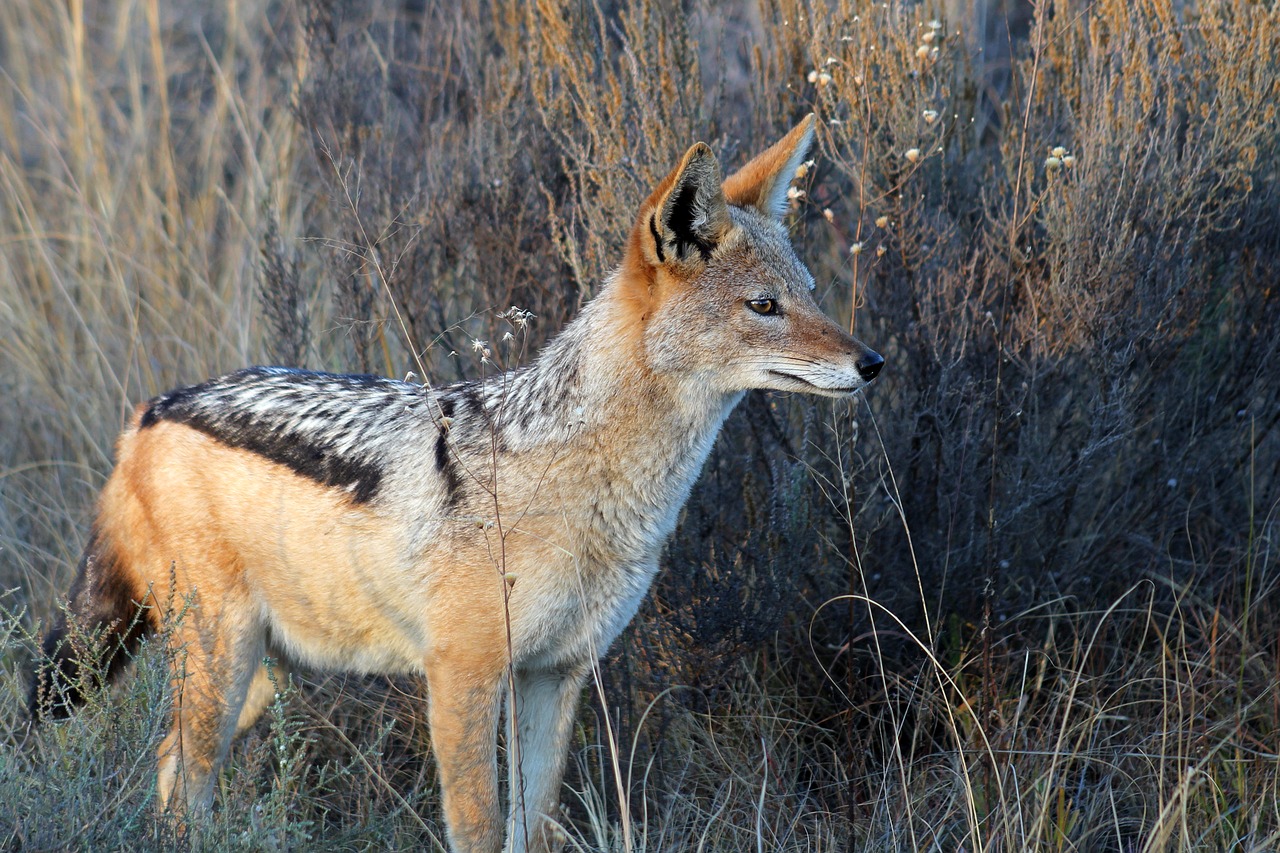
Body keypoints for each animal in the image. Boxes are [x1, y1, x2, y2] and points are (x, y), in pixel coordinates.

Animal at [31, 114, 882, 852]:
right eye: (764, 306)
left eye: (811, 291)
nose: (872, 362)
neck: (597, 489)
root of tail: (151, 409)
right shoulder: (463, 677)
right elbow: (477, 828)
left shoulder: (556, 674)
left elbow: (532, 827)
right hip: (221, 662)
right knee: (182, 786)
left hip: (256, 681)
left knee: (168, 768)